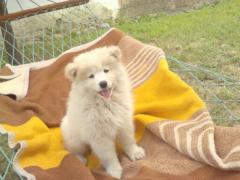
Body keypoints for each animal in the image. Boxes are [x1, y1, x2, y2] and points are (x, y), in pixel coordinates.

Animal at [61, 46, 145, 179]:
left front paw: (135, 152)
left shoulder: (124, 122)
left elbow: (128, 140)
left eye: (106, 70)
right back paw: (80, 159)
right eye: (91, 76)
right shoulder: (99, 135)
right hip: (76, 140)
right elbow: (108, 155)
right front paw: (115, 171)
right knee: (69, 149)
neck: (106, 103)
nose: (103, 83)